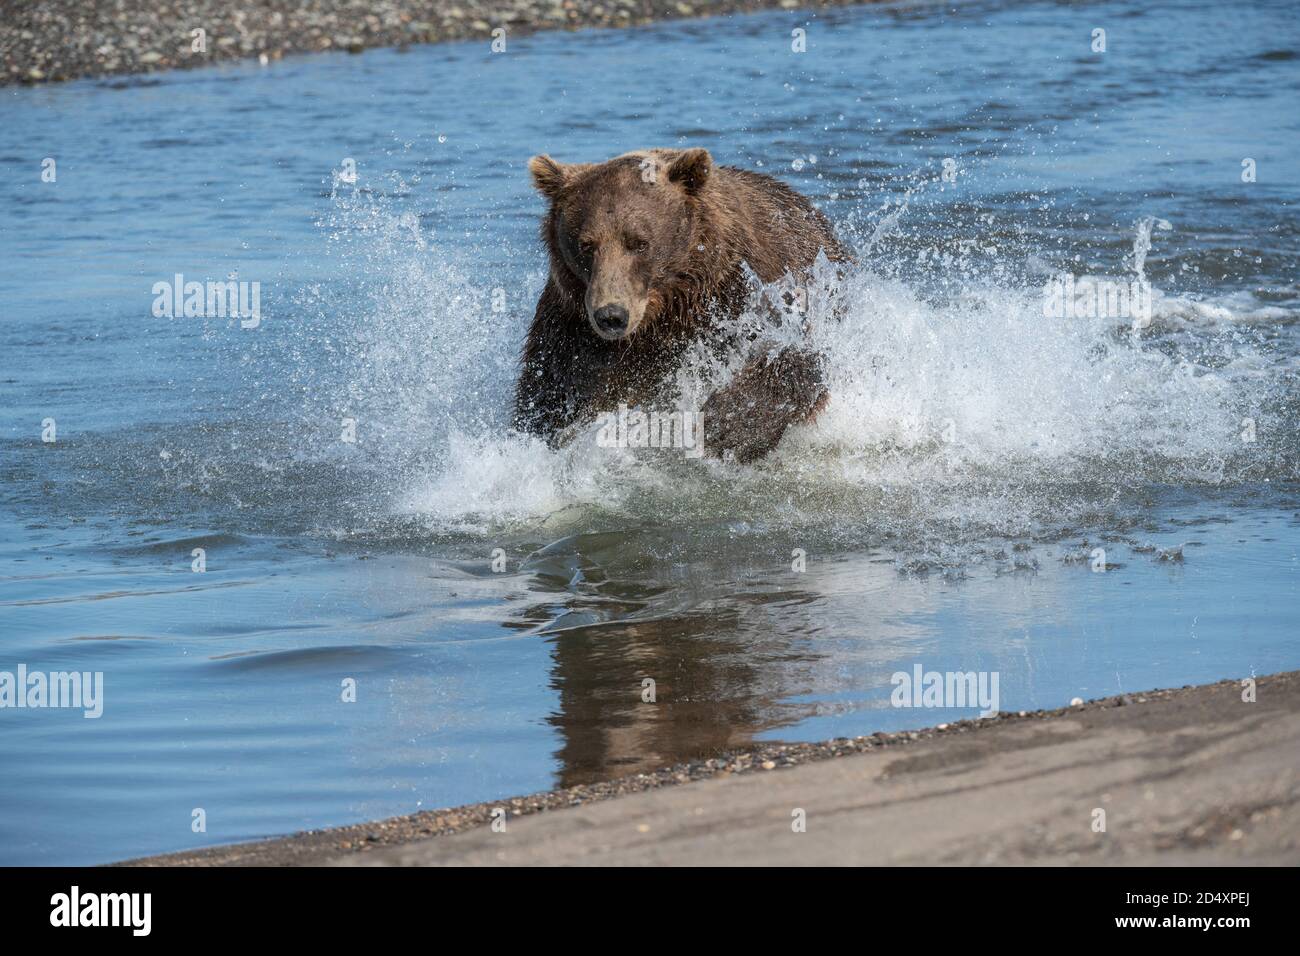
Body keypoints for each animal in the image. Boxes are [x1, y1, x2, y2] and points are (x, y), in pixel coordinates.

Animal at [512, 147, 850, 463]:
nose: (611, 315)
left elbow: (791, 356)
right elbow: (547, 394)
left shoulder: (749, 294)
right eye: (586, 245)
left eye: (639, 242)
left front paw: (726, 424)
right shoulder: (570, 331)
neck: (666, 312)